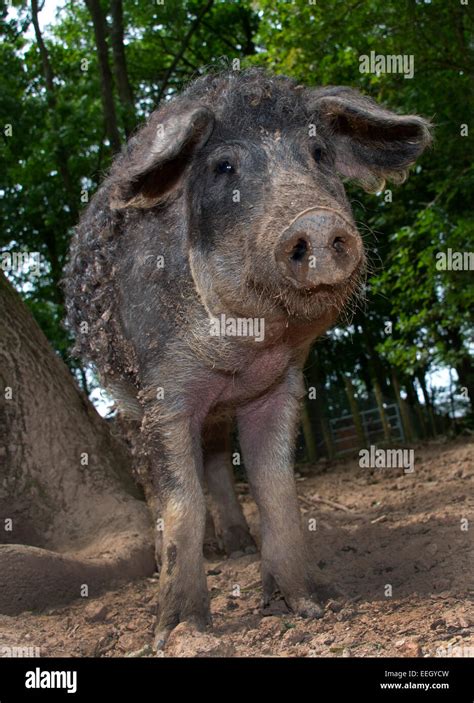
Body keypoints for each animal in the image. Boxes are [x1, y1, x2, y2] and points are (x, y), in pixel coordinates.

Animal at [64, 68, 431, 646]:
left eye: (319, 153)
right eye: (223, 167)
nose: (316, 224)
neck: (242, 351)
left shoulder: (281, 385)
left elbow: (276, 487)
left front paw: (317, 604)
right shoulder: (163, 392)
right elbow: (182, 502)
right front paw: (177, 634)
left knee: (217, 462)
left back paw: (238, 548)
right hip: (123, 409)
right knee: (155, 485)